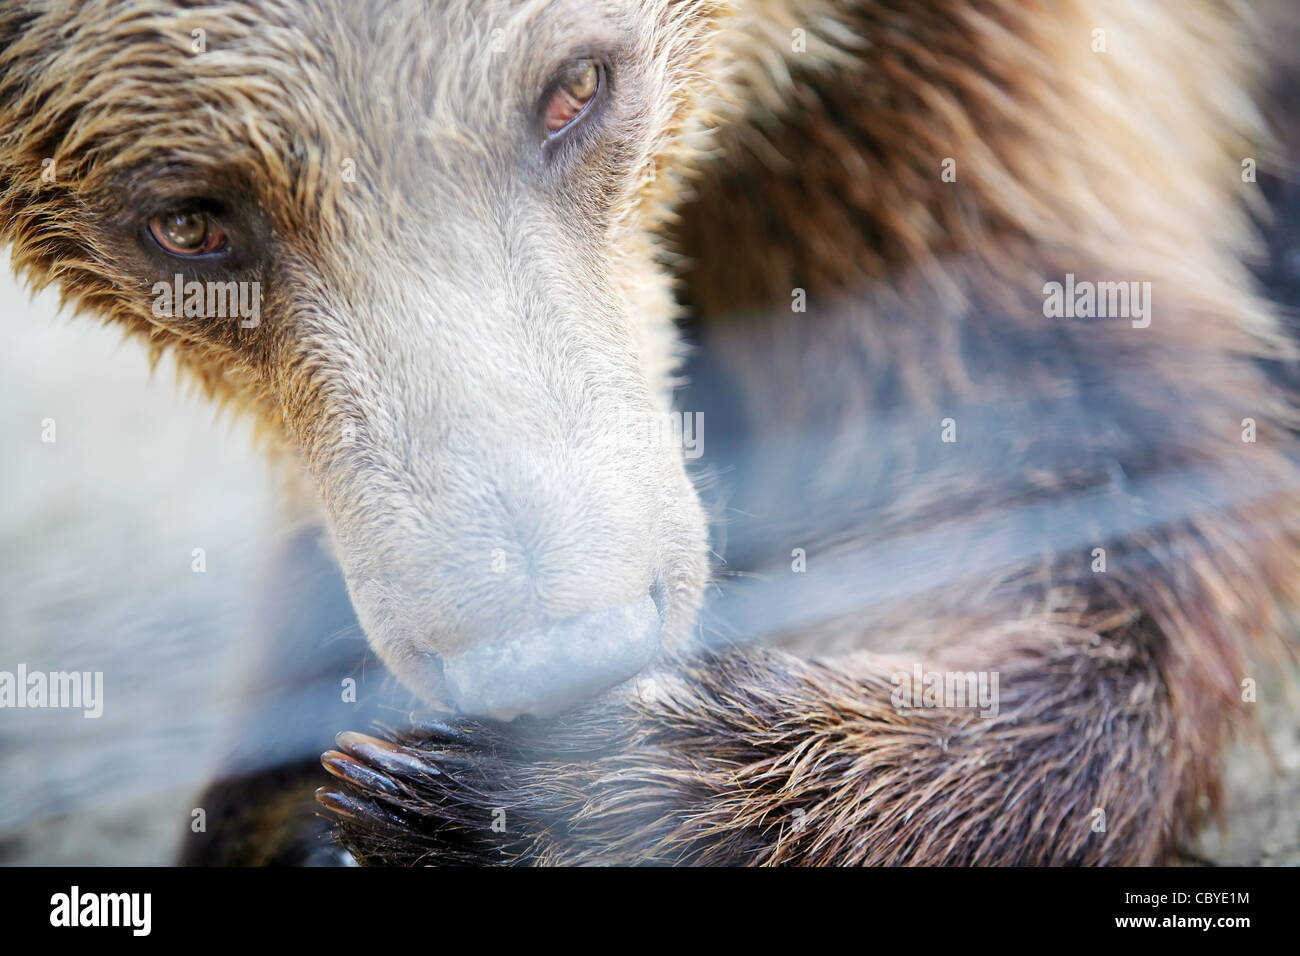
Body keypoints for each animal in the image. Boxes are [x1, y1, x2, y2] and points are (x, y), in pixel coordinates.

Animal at [1, 0, 1297, 865]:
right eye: (188, 221)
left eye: (575, 86)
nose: (551, 646)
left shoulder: (941, 106)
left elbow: (1055, 483)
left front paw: (548, 788)